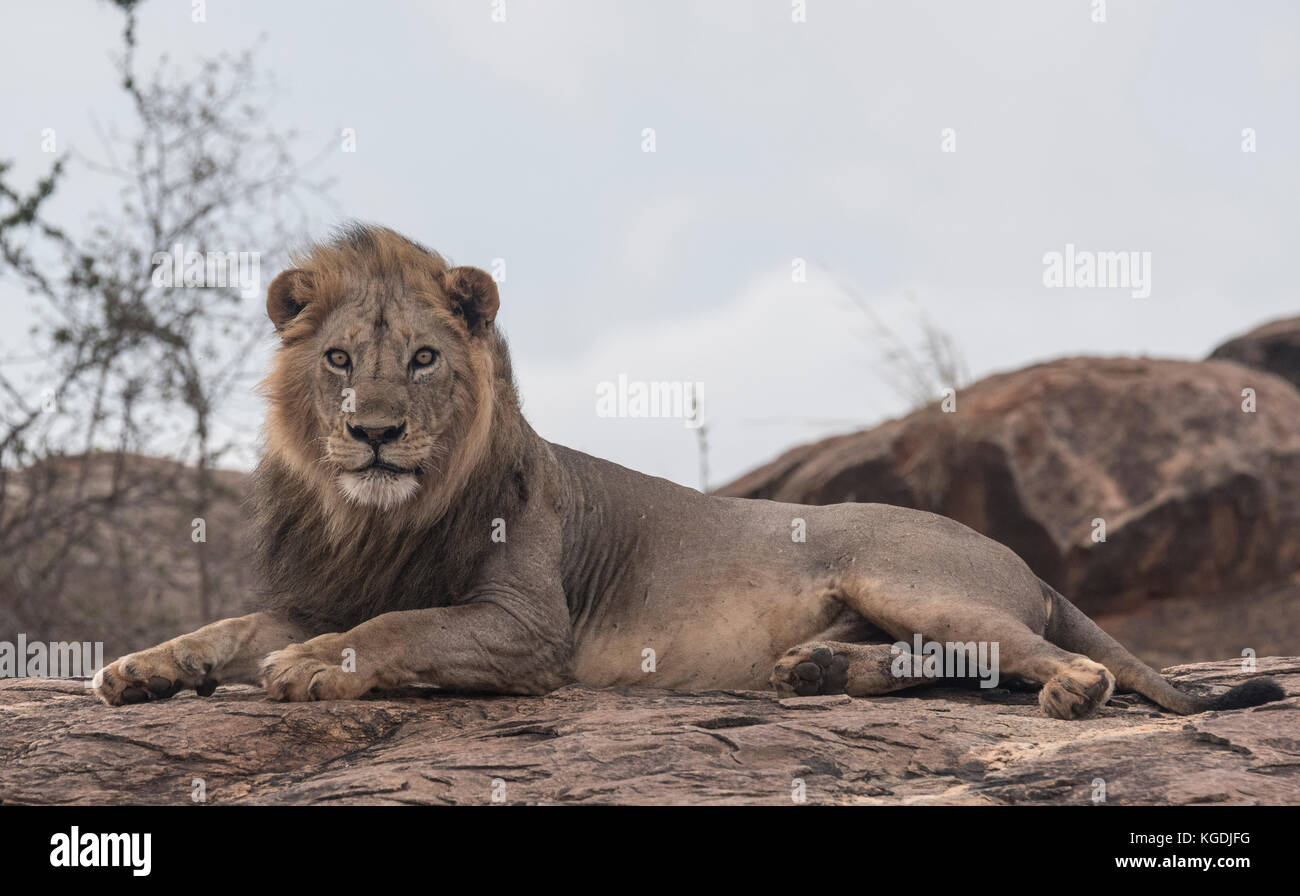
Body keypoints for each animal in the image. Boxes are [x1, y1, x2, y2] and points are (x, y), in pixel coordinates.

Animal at [93, 225, 1284, 720]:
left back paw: (1063, 689)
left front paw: (303, 672)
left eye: (423, 359)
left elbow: (396, 629)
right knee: (946, 661)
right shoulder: (319, 591)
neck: (376, 515)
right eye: (340, 359)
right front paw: (140, 668)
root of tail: (1024, 561)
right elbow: (226, 629)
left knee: (1033, 656)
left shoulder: (527, 627)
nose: (375, 433)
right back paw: (817, 670)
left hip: (909, 576)